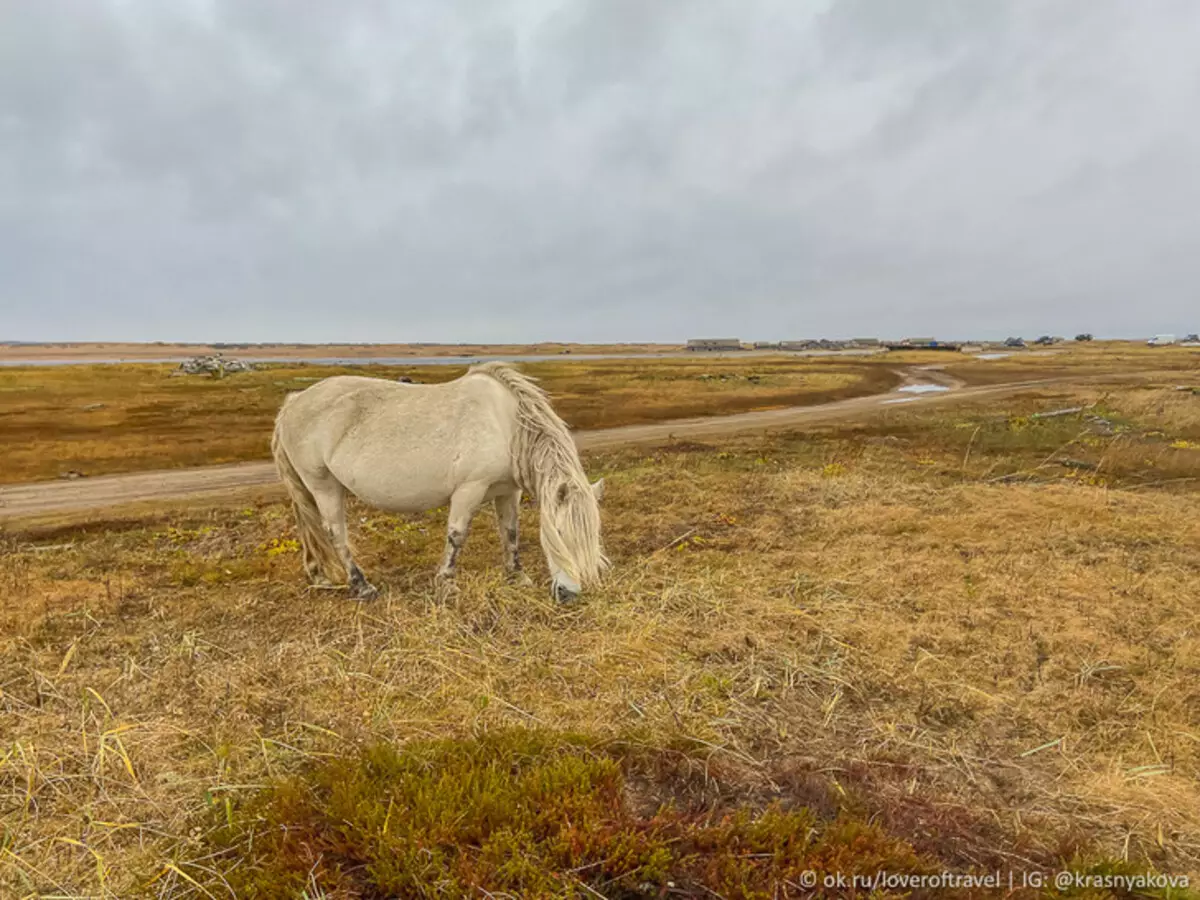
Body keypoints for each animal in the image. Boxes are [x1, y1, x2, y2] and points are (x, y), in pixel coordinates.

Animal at [273, 362, 609, 602]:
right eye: (560, 531)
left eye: (594, 533)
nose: (569, 595)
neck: (505, 424)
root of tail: (293, 402)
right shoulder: (469, 490)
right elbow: (456, 536)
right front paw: (446, 584)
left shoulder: (507, 492)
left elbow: (510, 533)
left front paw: (517, 577)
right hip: (324, 486)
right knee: (335, 533)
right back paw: (362, 586)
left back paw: (319, 576)